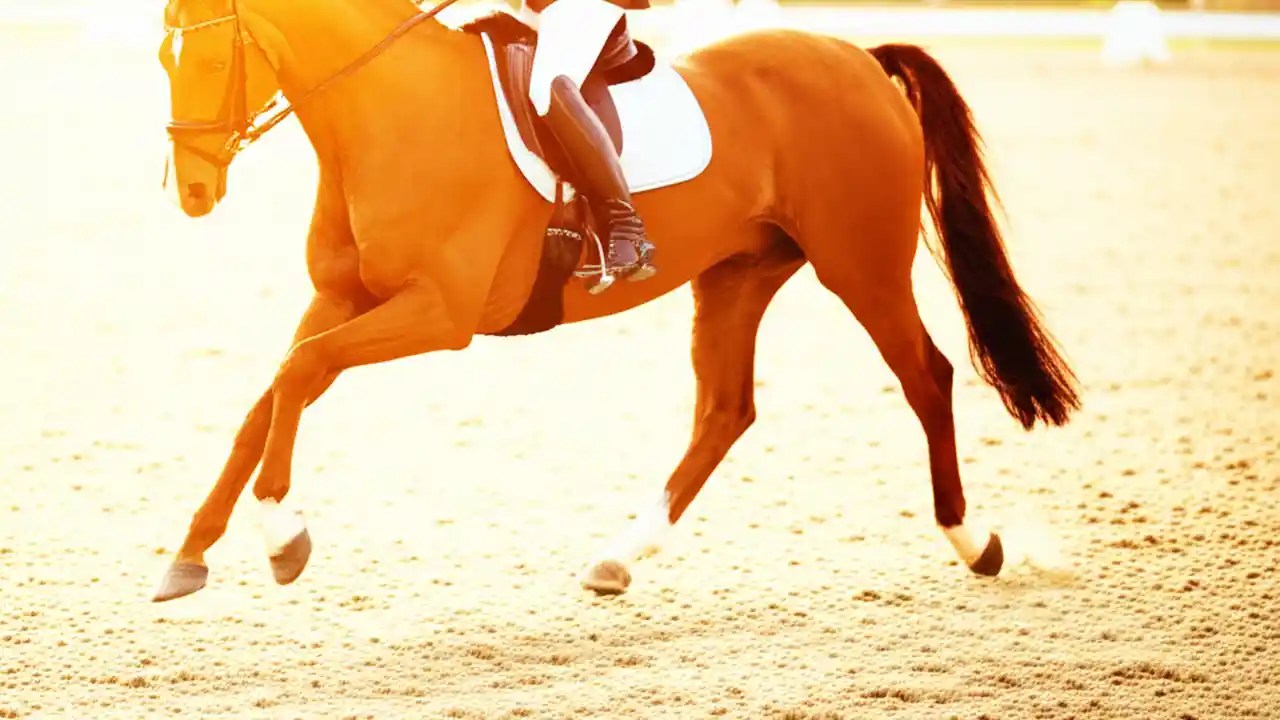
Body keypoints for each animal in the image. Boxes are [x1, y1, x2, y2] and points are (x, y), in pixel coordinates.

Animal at [151, 0, 1080, 602]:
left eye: (208, 60)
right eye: (164, 60)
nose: (193, 193)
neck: (393, 115)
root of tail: (856, 58)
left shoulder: (439, 315)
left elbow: (298, 375)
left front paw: (283, 537)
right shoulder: (342, 298)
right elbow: (274, 394)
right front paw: (189, 556)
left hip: (862, 265)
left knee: (926, 376)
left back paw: (975, 543)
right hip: (737, 275)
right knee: (726, 411)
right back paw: (619, 556)